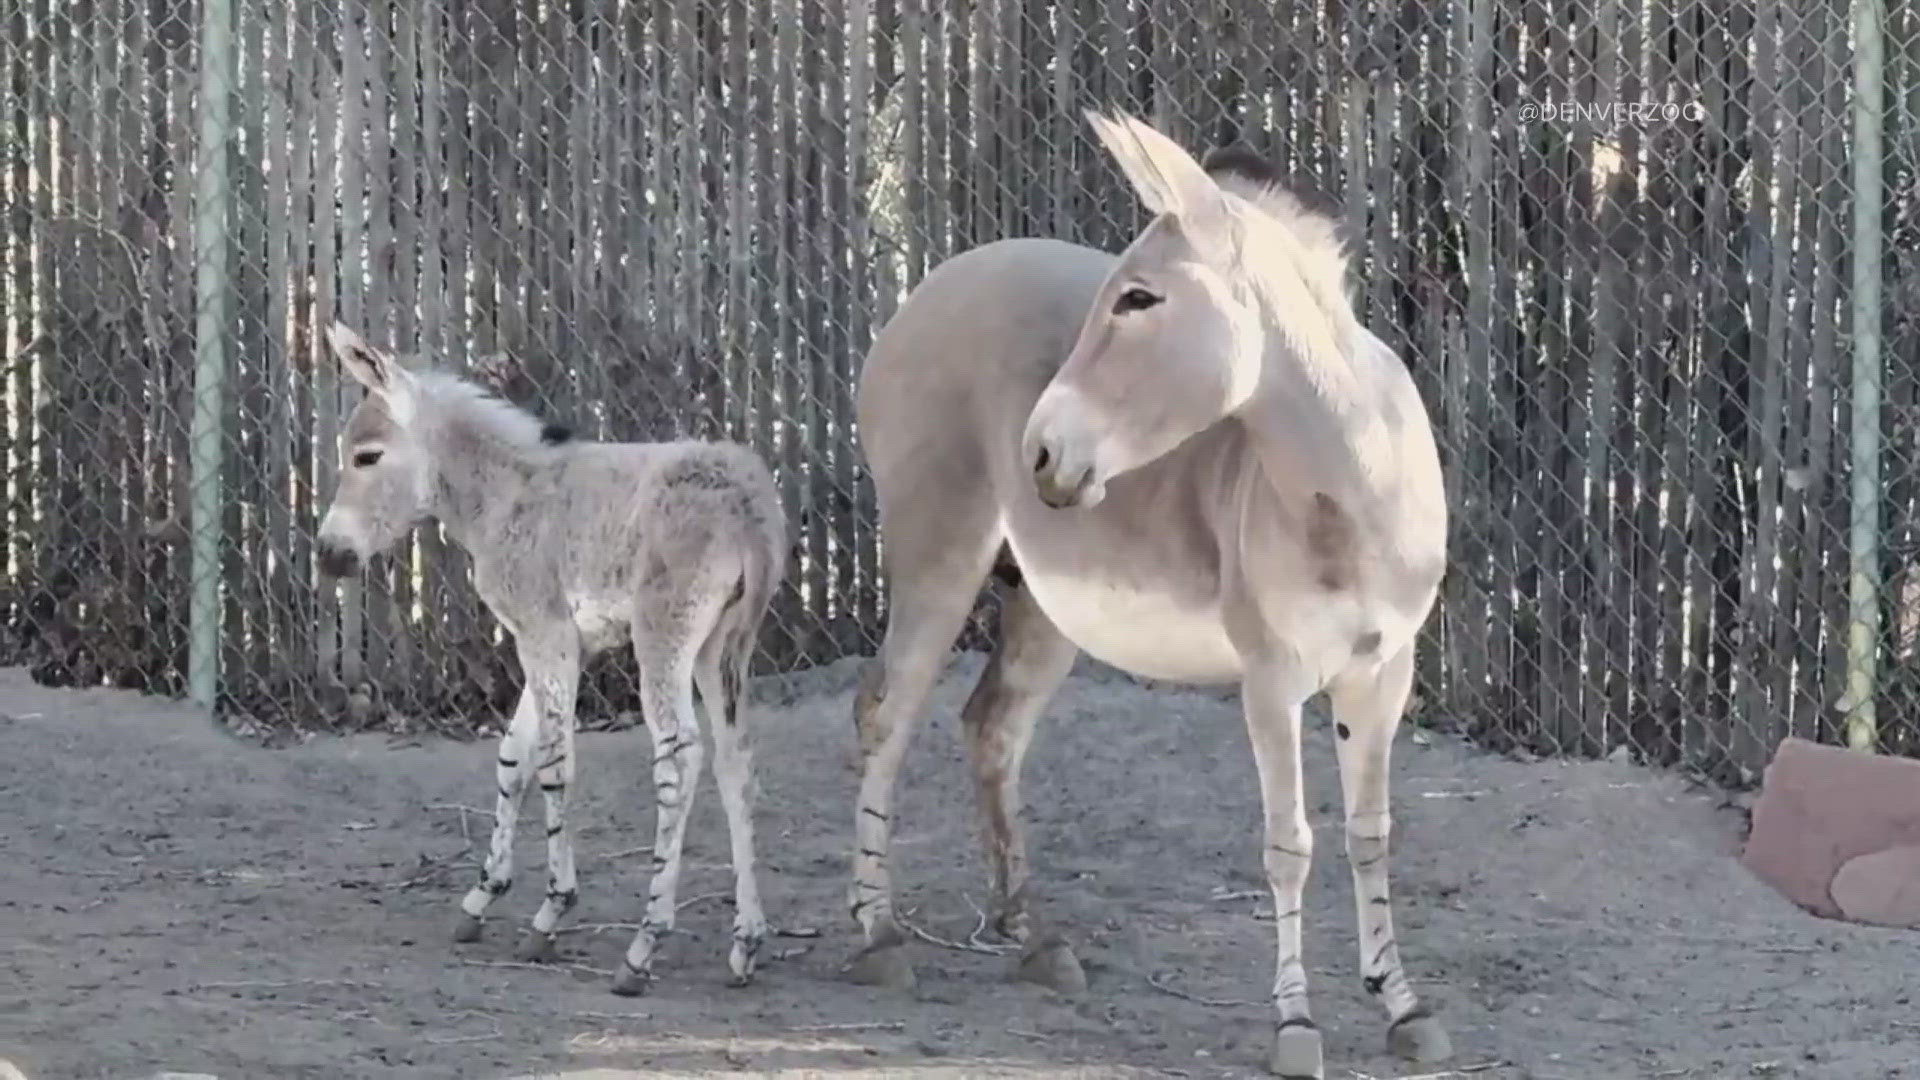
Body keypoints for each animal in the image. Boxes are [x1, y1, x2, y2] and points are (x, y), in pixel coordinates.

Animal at [313, 323, 786, 996]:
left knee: (679, 758)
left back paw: (644, 946)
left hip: (663, 638)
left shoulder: (545, 634)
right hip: (723, 646)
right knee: (736, 763)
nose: (328, 555)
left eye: (366, 458)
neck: (504, 497)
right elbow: (514, 758)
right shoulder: (554, 642)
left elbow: (555, 765)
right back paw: (746, 943)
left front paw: (551, 912)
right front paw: (483, 896)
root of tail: (747, 507)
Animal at [843, 113, 1452, 1079]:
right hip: (937, 558)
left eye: (1136, 299)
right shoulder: (1271, 678)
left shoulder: (1385, 670)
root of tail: (935, 279)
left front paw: (1402, 1006)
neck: (1355, 485)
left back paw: (1035, 938)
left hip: (1045, 600)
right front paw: (1295, 1025)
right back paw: (878, 939)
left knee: (992, 727)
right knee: (886, 714)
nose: (1040, 454)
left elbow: (1371, 832)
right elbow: (1290, 844)